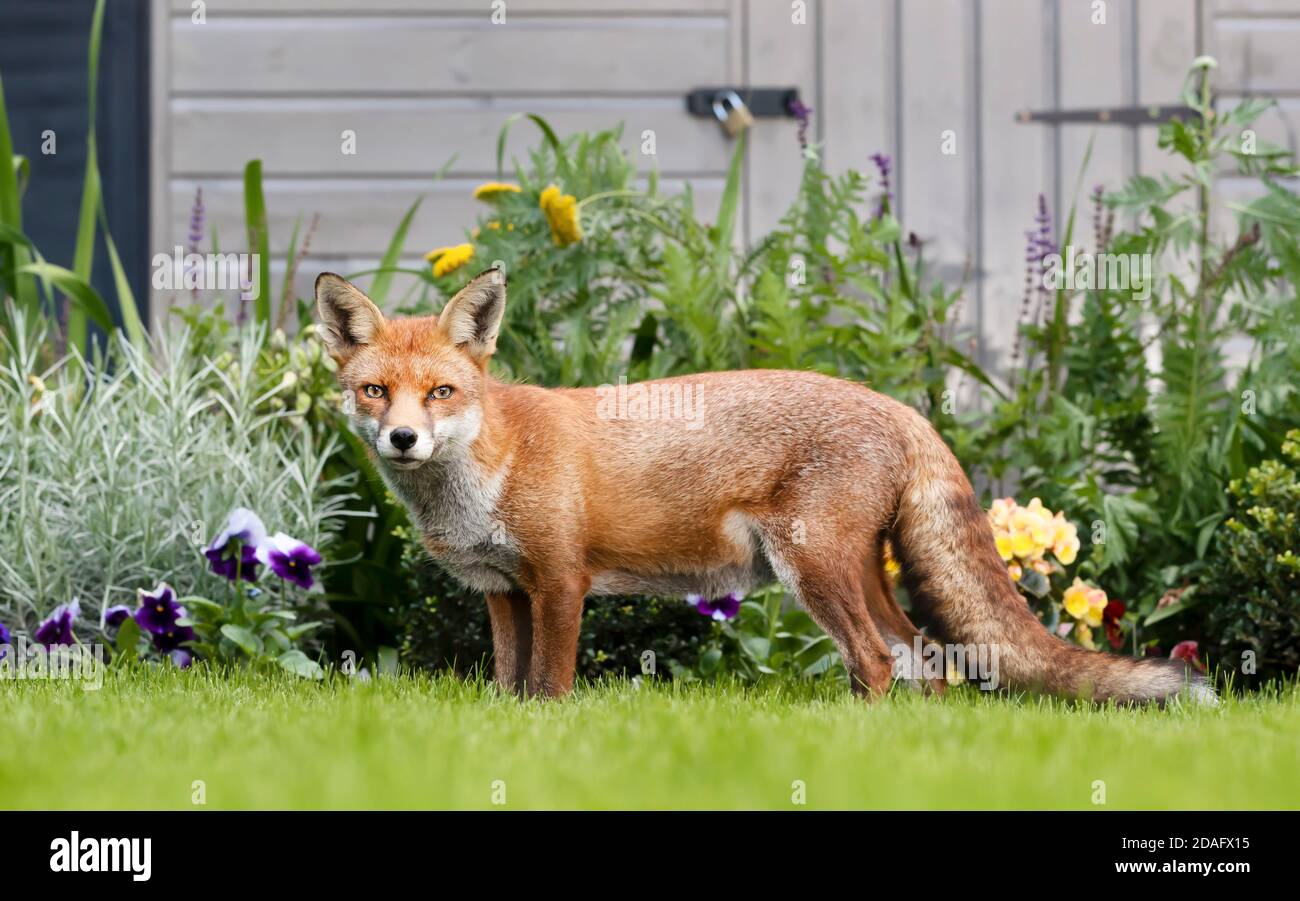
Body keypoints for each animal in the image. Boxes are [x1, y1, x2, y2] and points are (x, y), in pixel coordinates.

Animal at [315, 267, 1214, 705]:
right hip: (858, 574)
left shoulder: (562, 581)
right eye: (375, 391)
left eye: (440, 392)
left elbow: (550, 686)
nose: (402, 438)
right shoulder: (506, 592)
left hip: (813, 569)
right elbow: (508, 686)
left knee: (877, 663)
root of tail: (897, 405)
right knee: (927, 661)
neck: (489, 464)